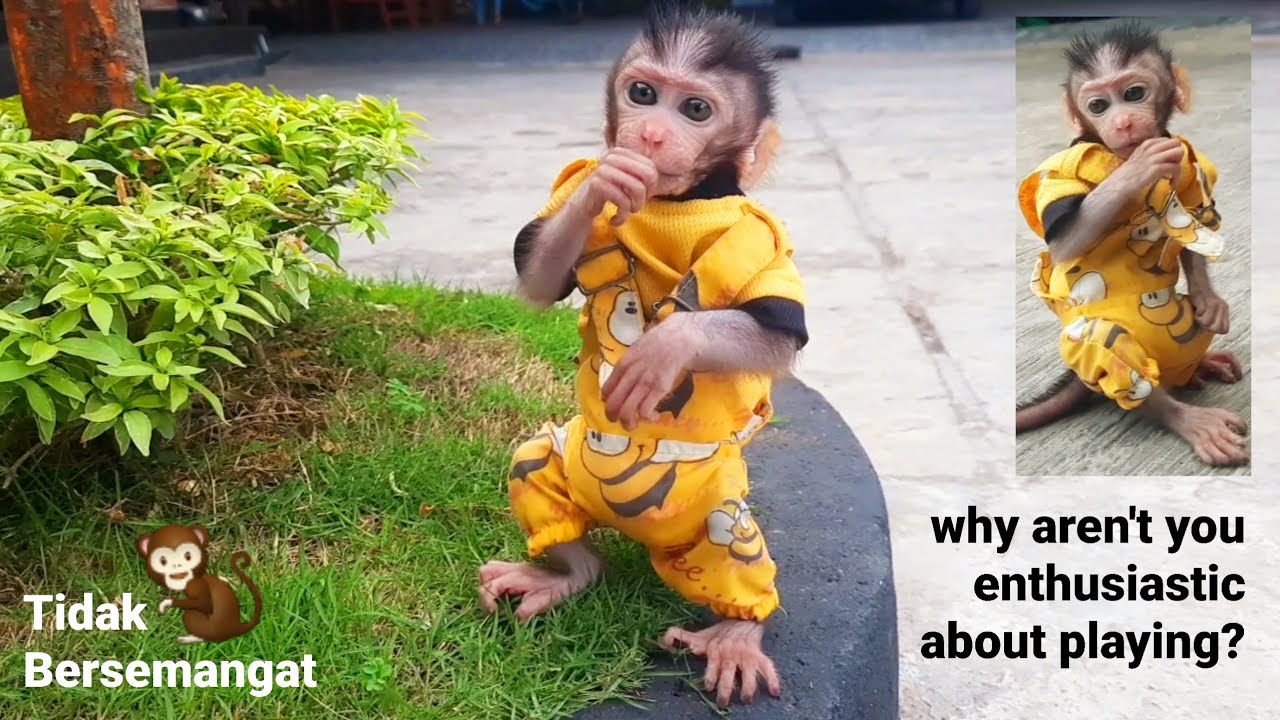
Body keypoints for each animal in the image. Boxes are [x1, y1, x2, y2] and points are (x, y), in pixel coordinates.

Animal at [477, 4, 807, 708]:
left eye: (696, 110)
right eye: (643, 94)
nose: (651, 135)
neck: (676, 201)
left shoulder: (765, 238)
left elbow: (771, 335)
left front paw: (666, 346)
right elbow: (543, 274)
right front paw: (601, 186)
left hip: (714, 515)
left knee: (734, 555)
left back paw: (737, 633)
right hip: (564, 459)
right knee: (533, 464)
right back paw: (565, 571)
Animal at [1016, 21, 1247, 467]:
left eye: (1134, 94)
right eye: (1098, 106)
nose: (1122, 123)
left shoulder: (1189, 163)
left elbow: (1198, 222)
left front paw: (1208, 297)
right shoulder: (1064, 169)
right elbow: (1065, 245)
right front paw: (1138, 169)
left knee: (1193, 327)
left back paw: (1202, 365)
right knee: (1102, 341)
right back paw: (1183, 417)